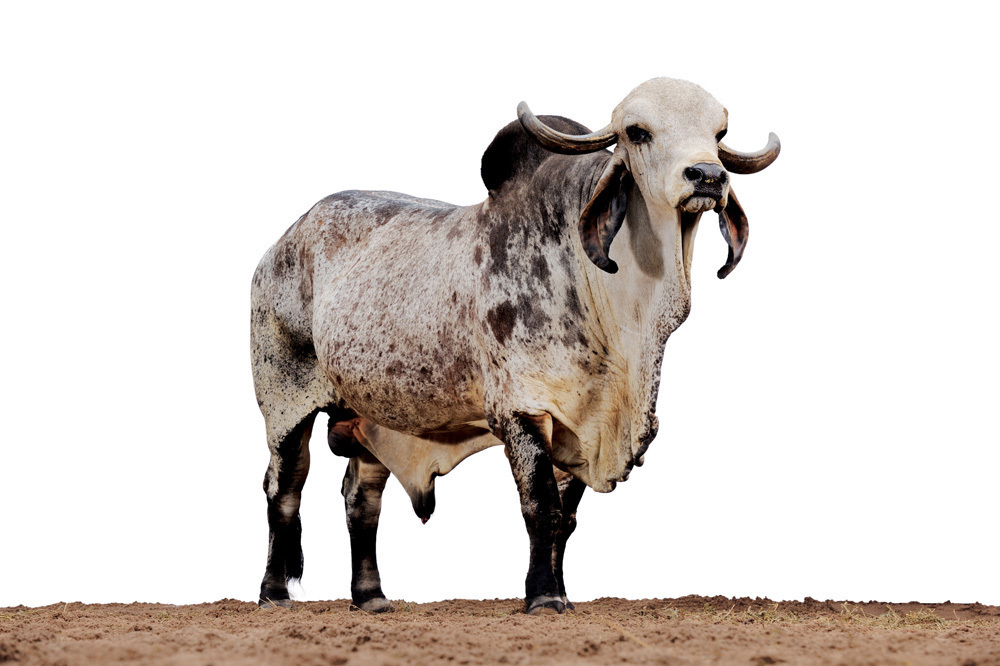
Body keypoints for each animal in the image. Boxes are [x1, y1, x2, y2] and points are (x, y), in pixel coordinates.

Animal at [251, 77, 779, 615]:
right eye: (637, 131)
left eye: (719, 133)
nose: (708, 176)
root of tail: (280, 244)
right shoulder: (521, 410)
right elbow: (540, 508)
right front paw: (543, 597)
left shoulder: (578, 427)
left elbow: (566, 520)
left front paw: (559, 593)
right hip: (283, 408)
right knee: (284, 489)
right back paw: (274, 593)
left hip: (374, 413)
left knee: (362, 498)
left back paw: (371, 597)